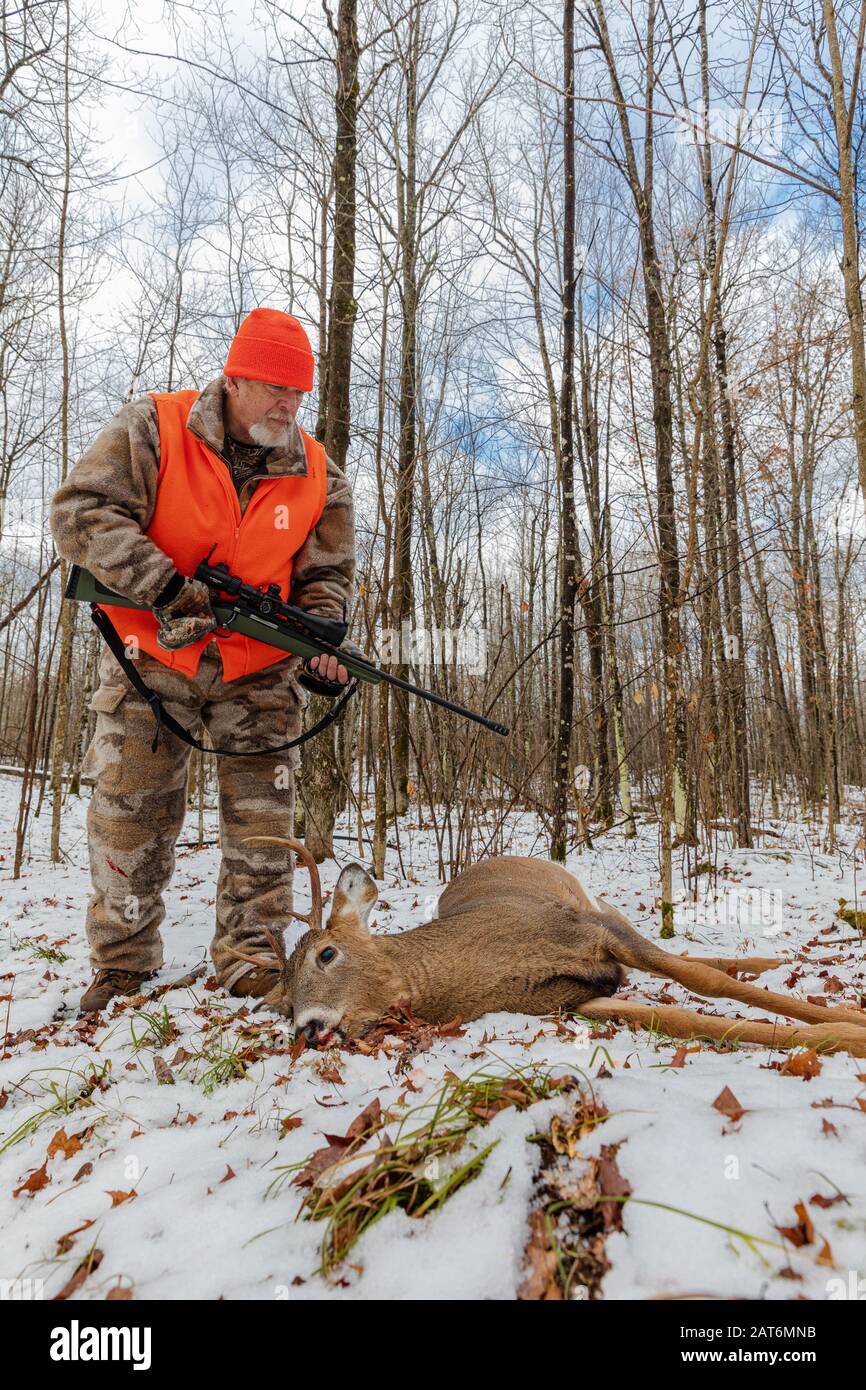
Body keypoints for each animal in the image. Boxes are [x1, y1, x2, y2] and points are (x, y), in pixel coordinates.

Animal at [226, 838, 866, 1058]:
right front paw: (841, 1035)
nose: (305, 1028)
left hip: (592, 899)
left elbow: (703, 984)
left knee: (687, 956)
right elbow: (694, 1021)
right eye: (284, 1003)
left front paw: (849, 1022)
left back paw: (775, 958)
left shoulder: (590, 930)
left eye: (326, 954)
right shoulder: (570, 999)